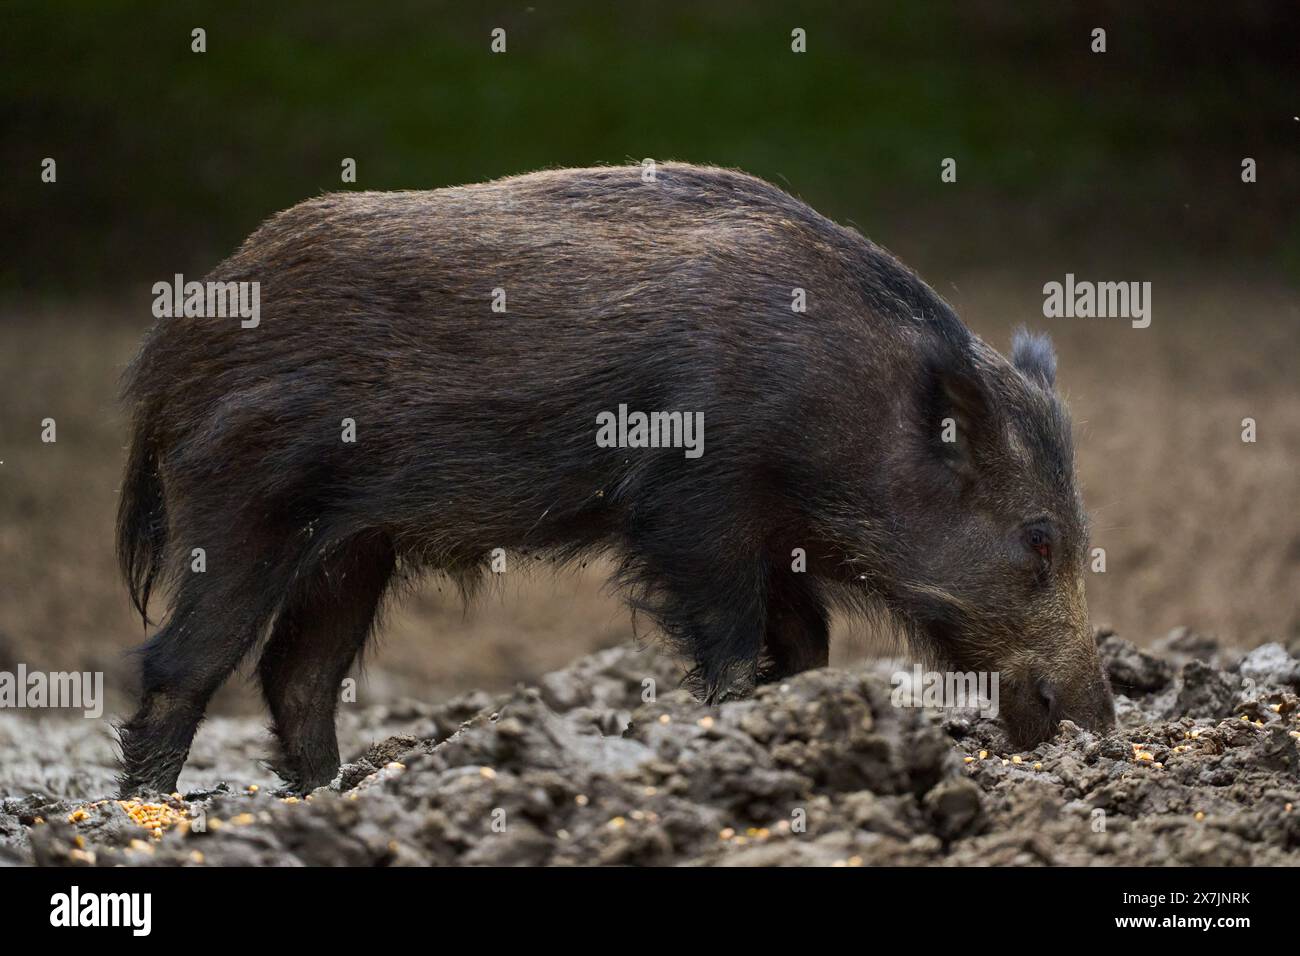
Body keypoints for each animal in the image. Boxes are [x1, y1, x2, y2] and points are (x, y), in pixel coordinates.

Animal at [116, 162, 1114, 795]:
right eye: (1039, 539)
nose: (1099, 722)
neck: (840, 406)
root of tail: (161, 368)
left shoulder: (775, 536)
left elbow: (807, 640)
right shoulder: (693, 507)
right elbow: (732, 638)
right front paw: (727, 721)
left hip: (354, 547)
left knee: (297, 672)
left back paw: (328, 792)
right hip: (242, 503)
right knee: (183, 661)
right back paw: (154, 805)